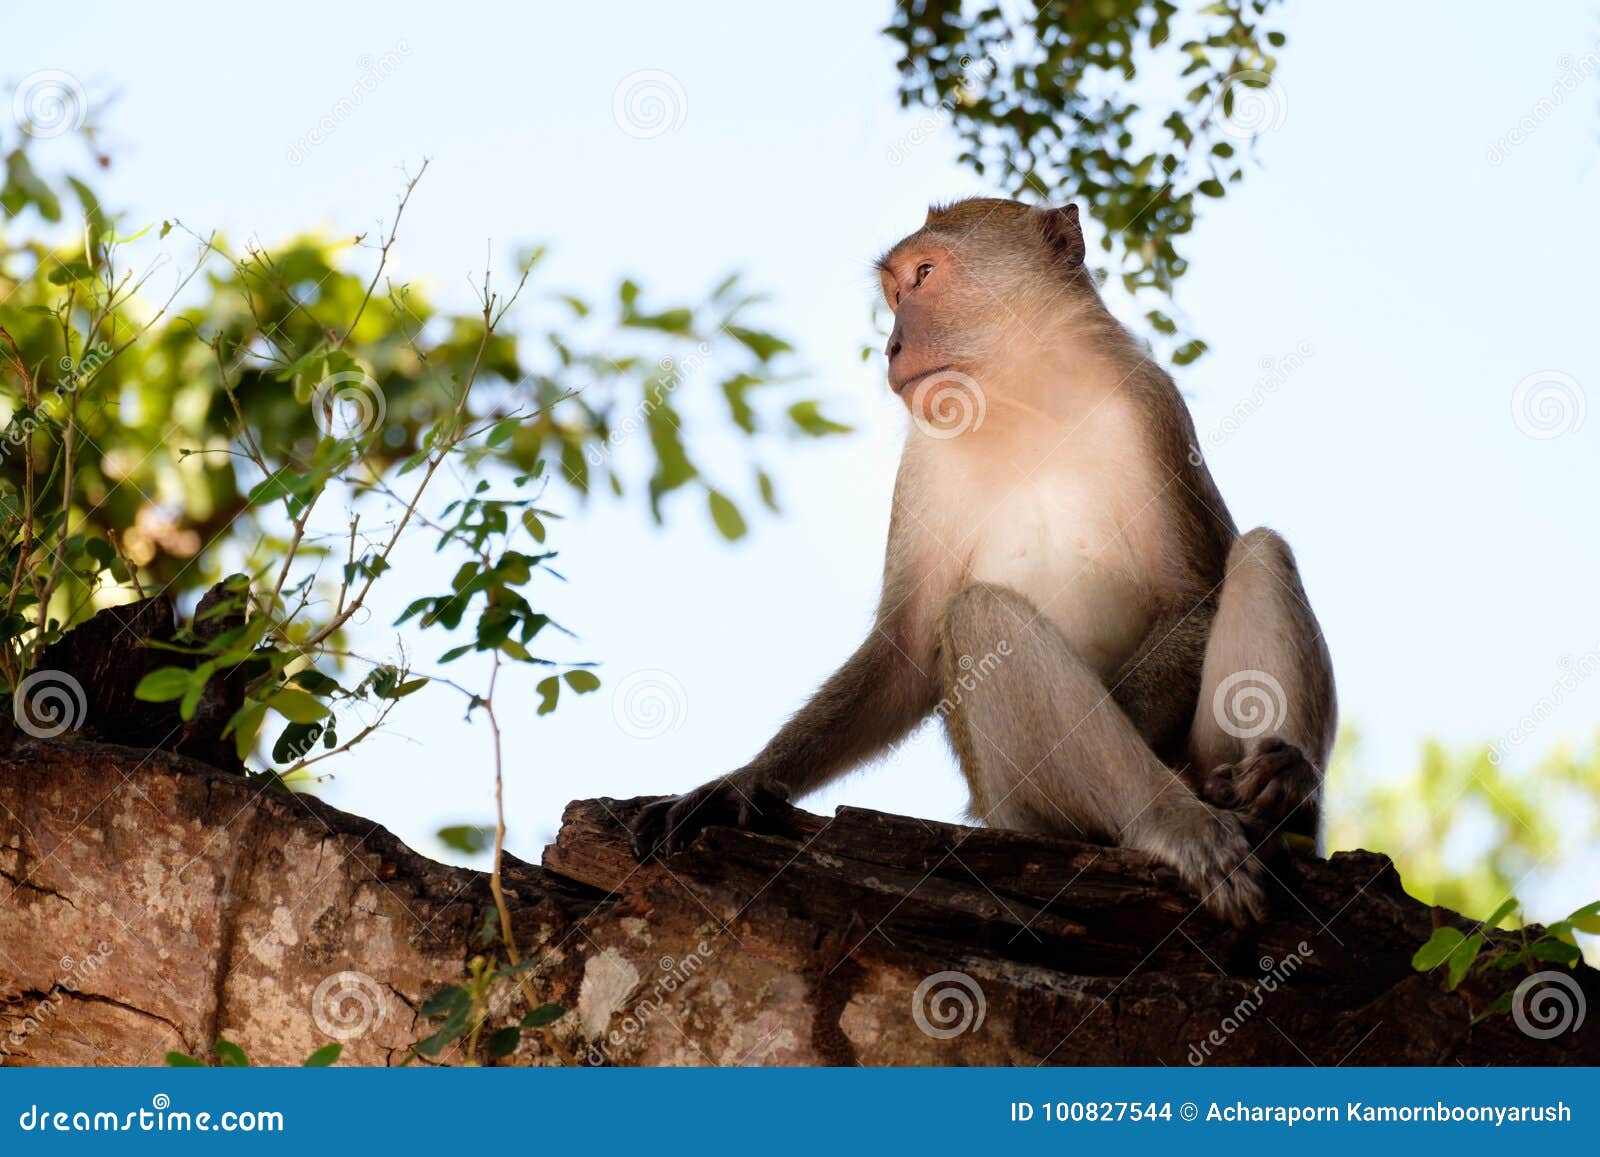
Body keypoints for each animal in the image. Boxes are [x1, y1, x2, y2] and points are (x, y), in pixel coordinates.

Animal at [628, 198, 1336, 926]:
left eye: (924, 275)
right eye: (895, 293)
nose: (893, 346)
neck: (1024, 398)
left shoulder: (1151, 405)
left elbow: (1192, 594)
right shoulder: (924, 458)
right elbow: (907, 648)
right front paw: (741, 783)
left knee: (1260, 553)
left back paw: (1279, 793)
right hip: (1022, 810)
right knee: (979, 615)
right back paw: (1173, 819)